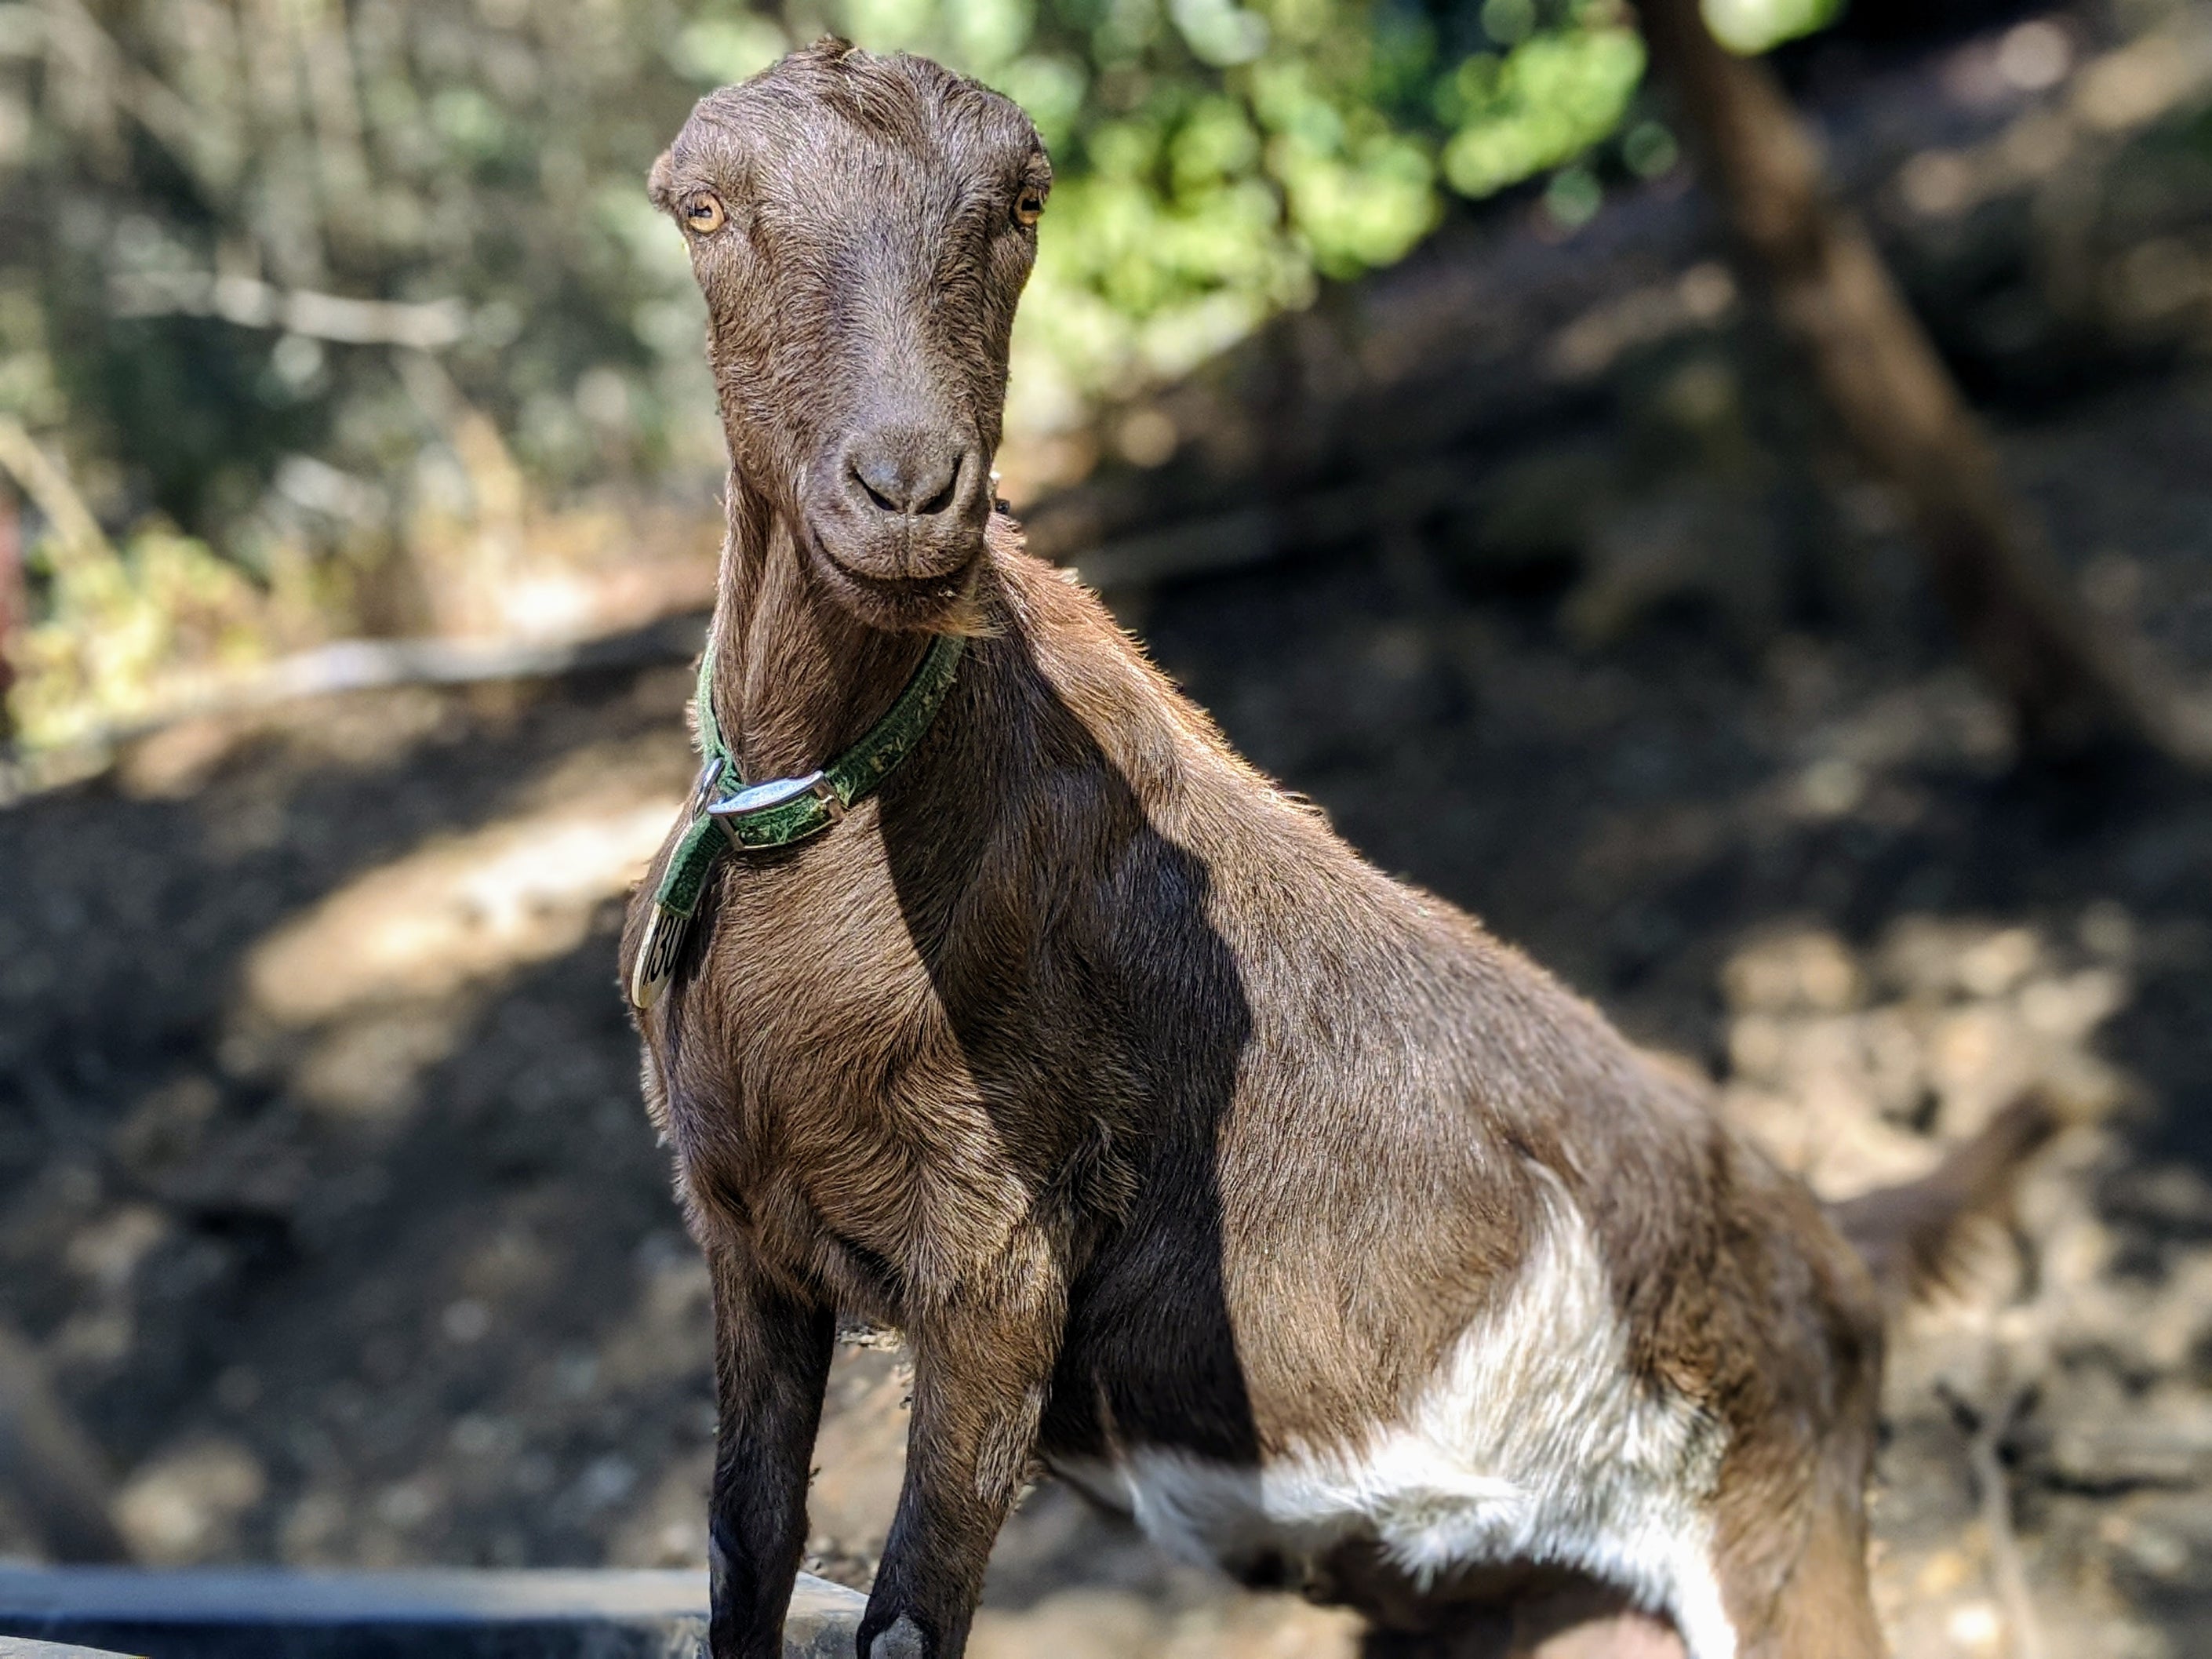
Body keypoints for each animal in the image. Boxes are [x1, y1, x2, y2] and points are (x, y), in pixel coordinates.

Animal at [624, 42, 2051, 1659]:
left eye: (1025, 202)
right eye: (705, 209)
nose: (912, 489)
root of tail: (1838, 1247)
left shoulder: (1001, 1255)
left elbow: (910, 1614)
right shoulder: (744, 1238)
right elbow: (745, 1550)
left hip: (1783, 1543)